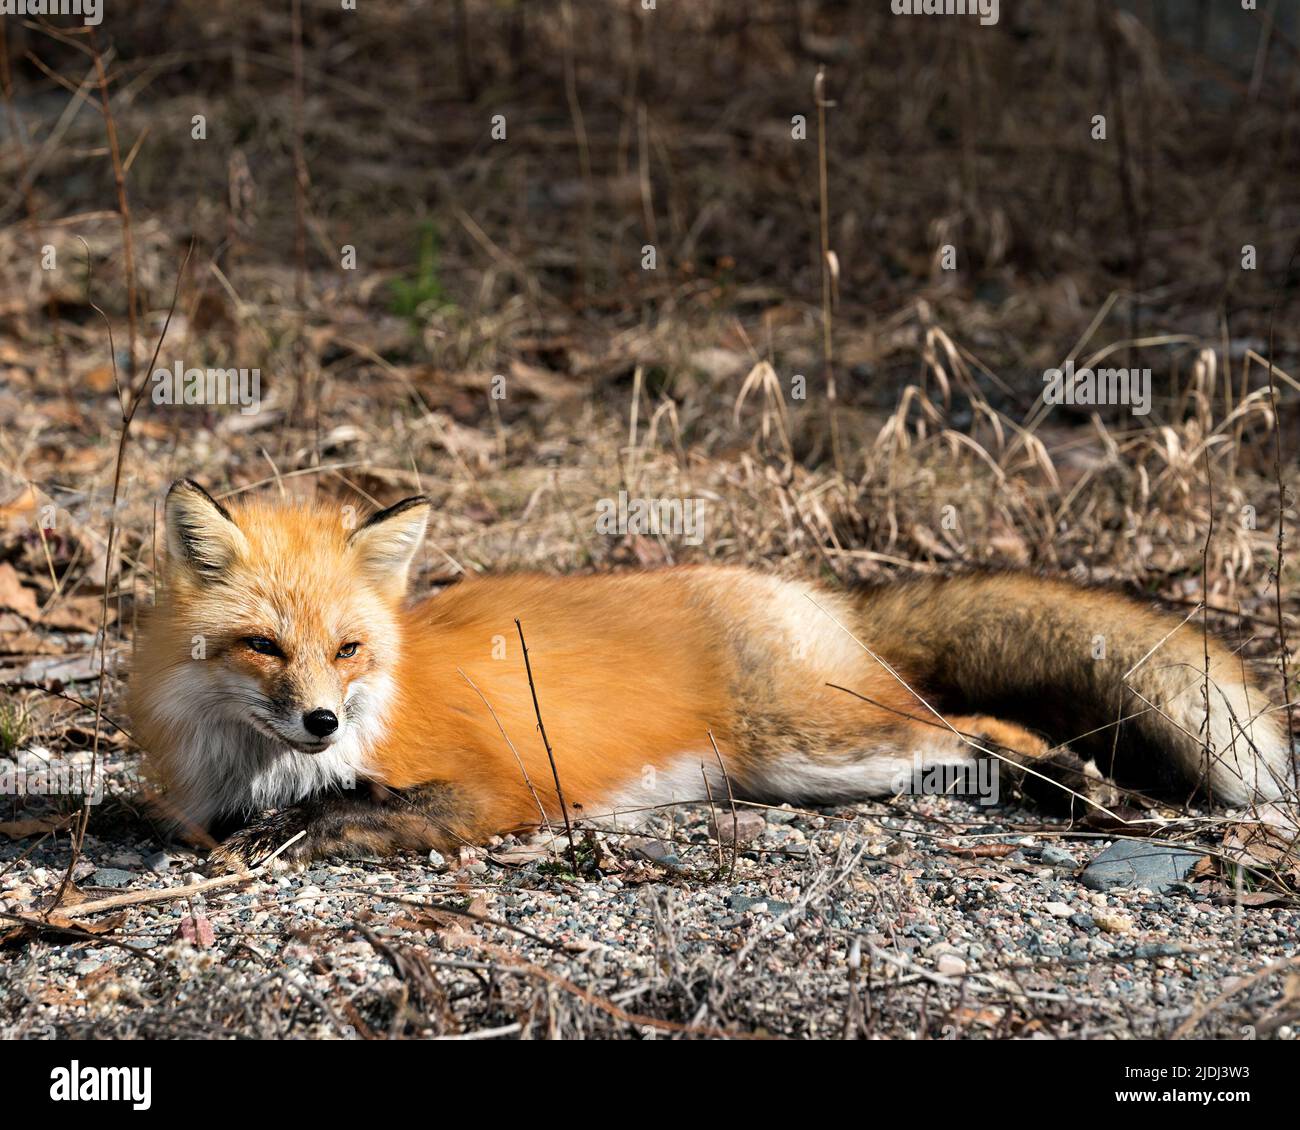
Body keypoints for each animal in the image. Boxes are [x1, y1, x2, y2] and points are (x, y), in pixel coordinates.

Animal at [128, 479, 1294, 870]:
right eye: (265, 647)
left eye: (349, 649)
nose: (323, 723)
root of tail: (817, 591)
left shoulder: (498, 787)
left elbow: (365, 811)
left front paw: (308, 821)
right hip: (813, 770)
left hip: (819, 744)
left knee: (976, 725)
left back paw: (1077, 785)